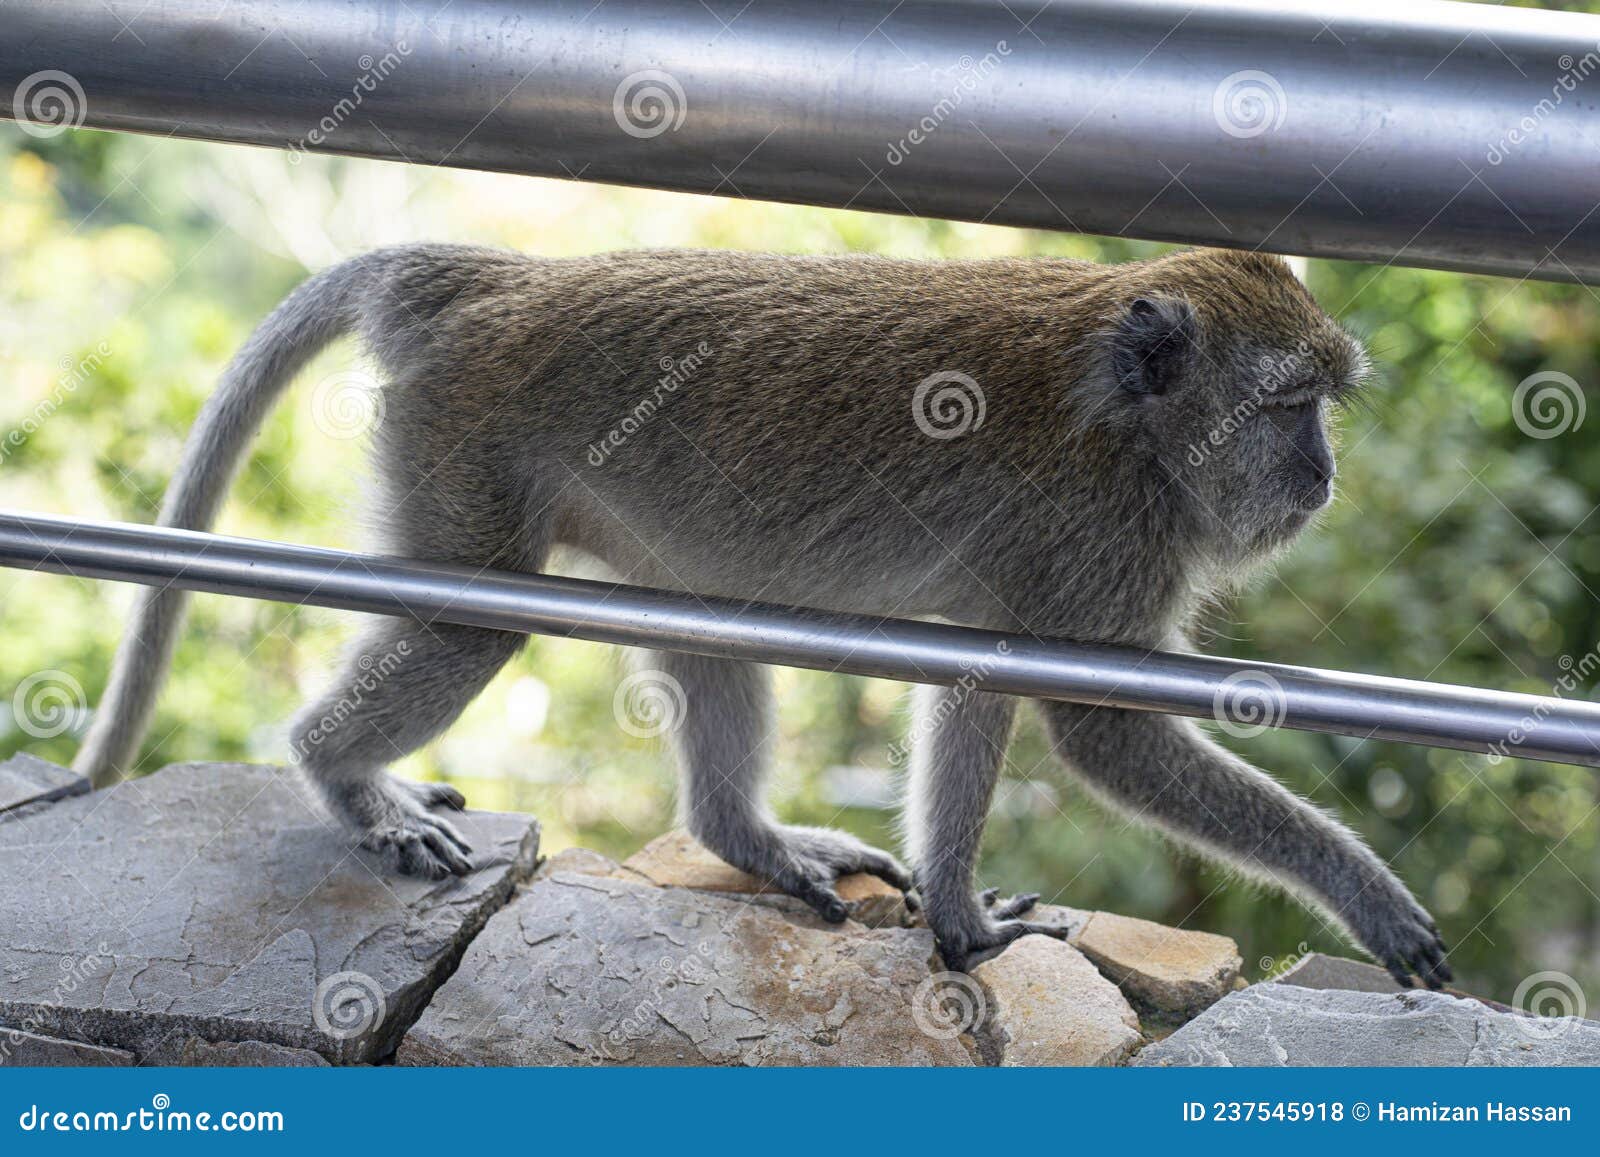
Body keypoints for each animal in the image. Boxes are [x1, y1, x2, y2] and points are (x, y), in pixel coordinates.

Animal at [73, 243, 1451, 988]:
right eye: (1288, 407)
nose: (1321, 473)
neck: (1133, 420)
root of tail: (494, 278)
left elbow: (980, 687)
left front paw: (956, 913)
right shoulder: (1106, 540)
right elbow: (1100, 731)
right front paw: (1364, 888)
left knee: (710, 618)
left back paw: (744, 837)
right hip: (460, 437)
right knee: (469, 626)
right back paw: (343, 776)